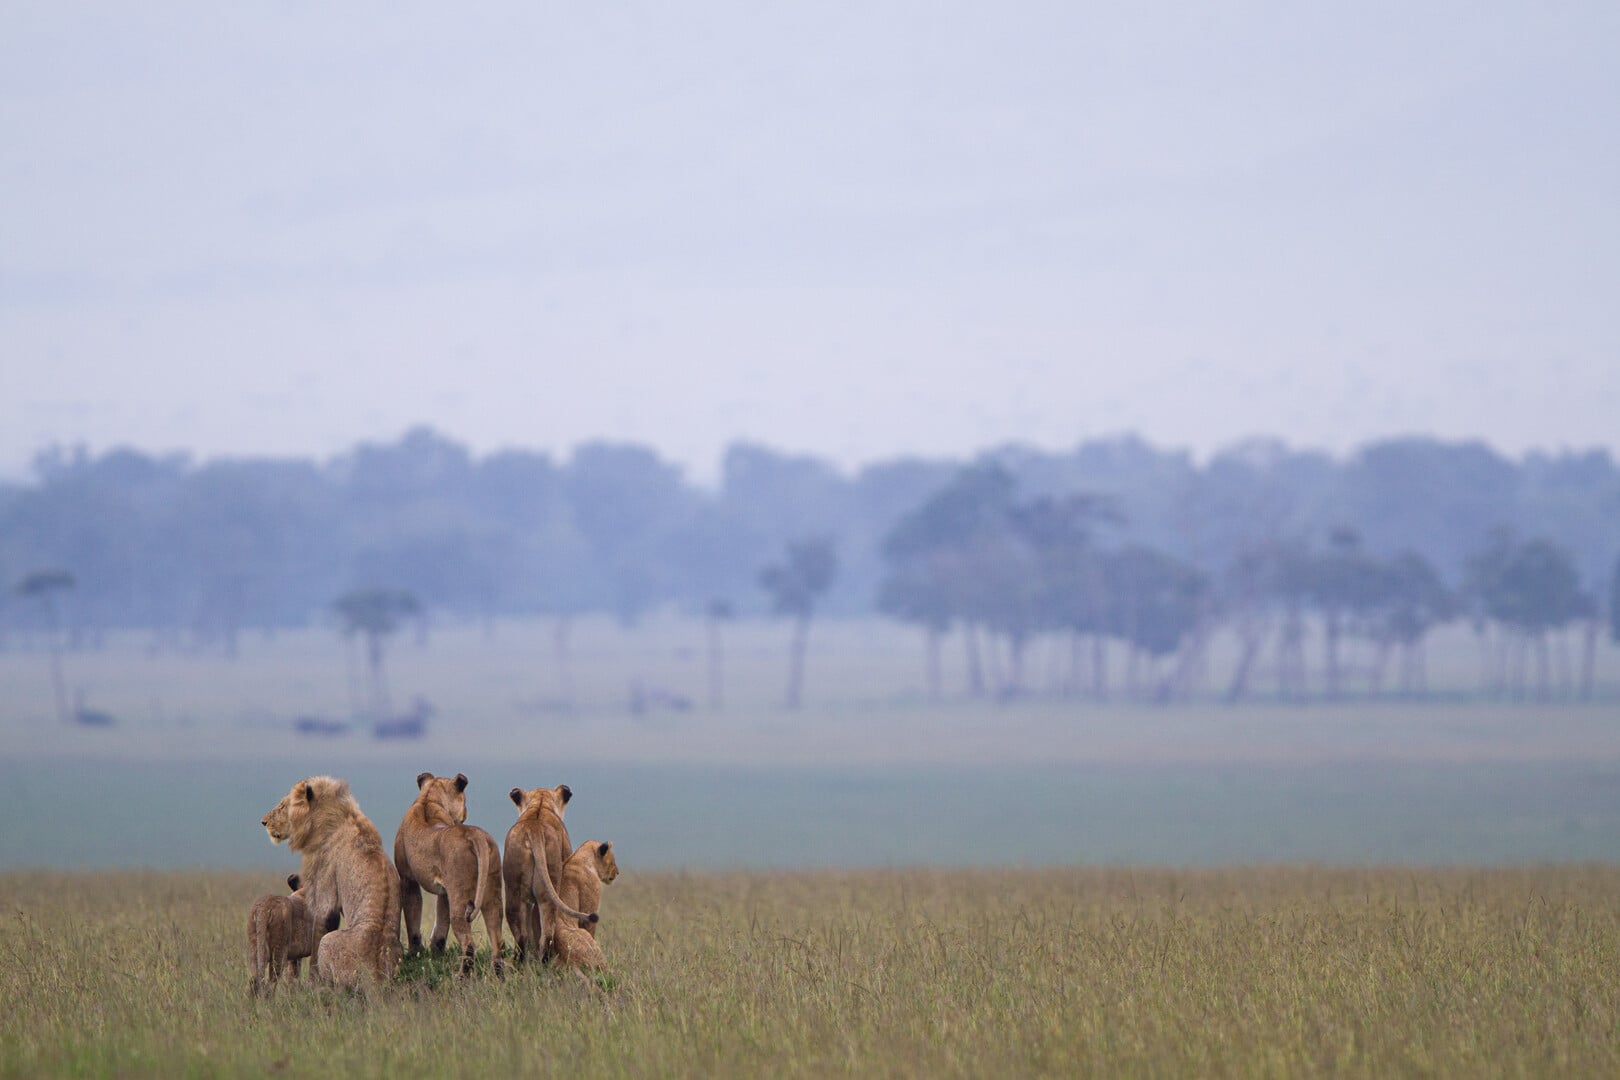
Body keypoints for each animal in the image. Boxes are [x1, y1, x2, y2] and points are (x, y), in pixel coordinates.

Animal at [261, 776, 402, 989]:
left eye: (283, 806)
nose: (263, 822)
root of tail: (376, 975)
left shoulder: (325, 891)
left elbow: (317, 935)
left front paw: (312, 982)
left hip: (330, 942)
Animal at [394, 771, 505, 977]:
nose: (466, 812)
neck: (428, 799)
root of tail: (474, 834)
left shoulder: (407, 879)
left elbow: (413, 917)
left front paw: (416, 952)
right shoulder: (446, 891)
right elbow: (441, 925)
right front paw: (435, 952)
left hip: (460, 898)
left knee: (469, 944)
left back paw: (461, 976)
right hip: (492, 893)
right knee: (497, 940)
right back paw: (498, 975)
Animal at [502, 784, 598, 963]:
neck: (540, 804)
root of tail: (534, 828)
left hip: (513, 890)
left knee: (521, 935)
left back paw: (520, 963)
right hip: (549, 887)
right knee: (546, 934)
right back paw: (544, 963)